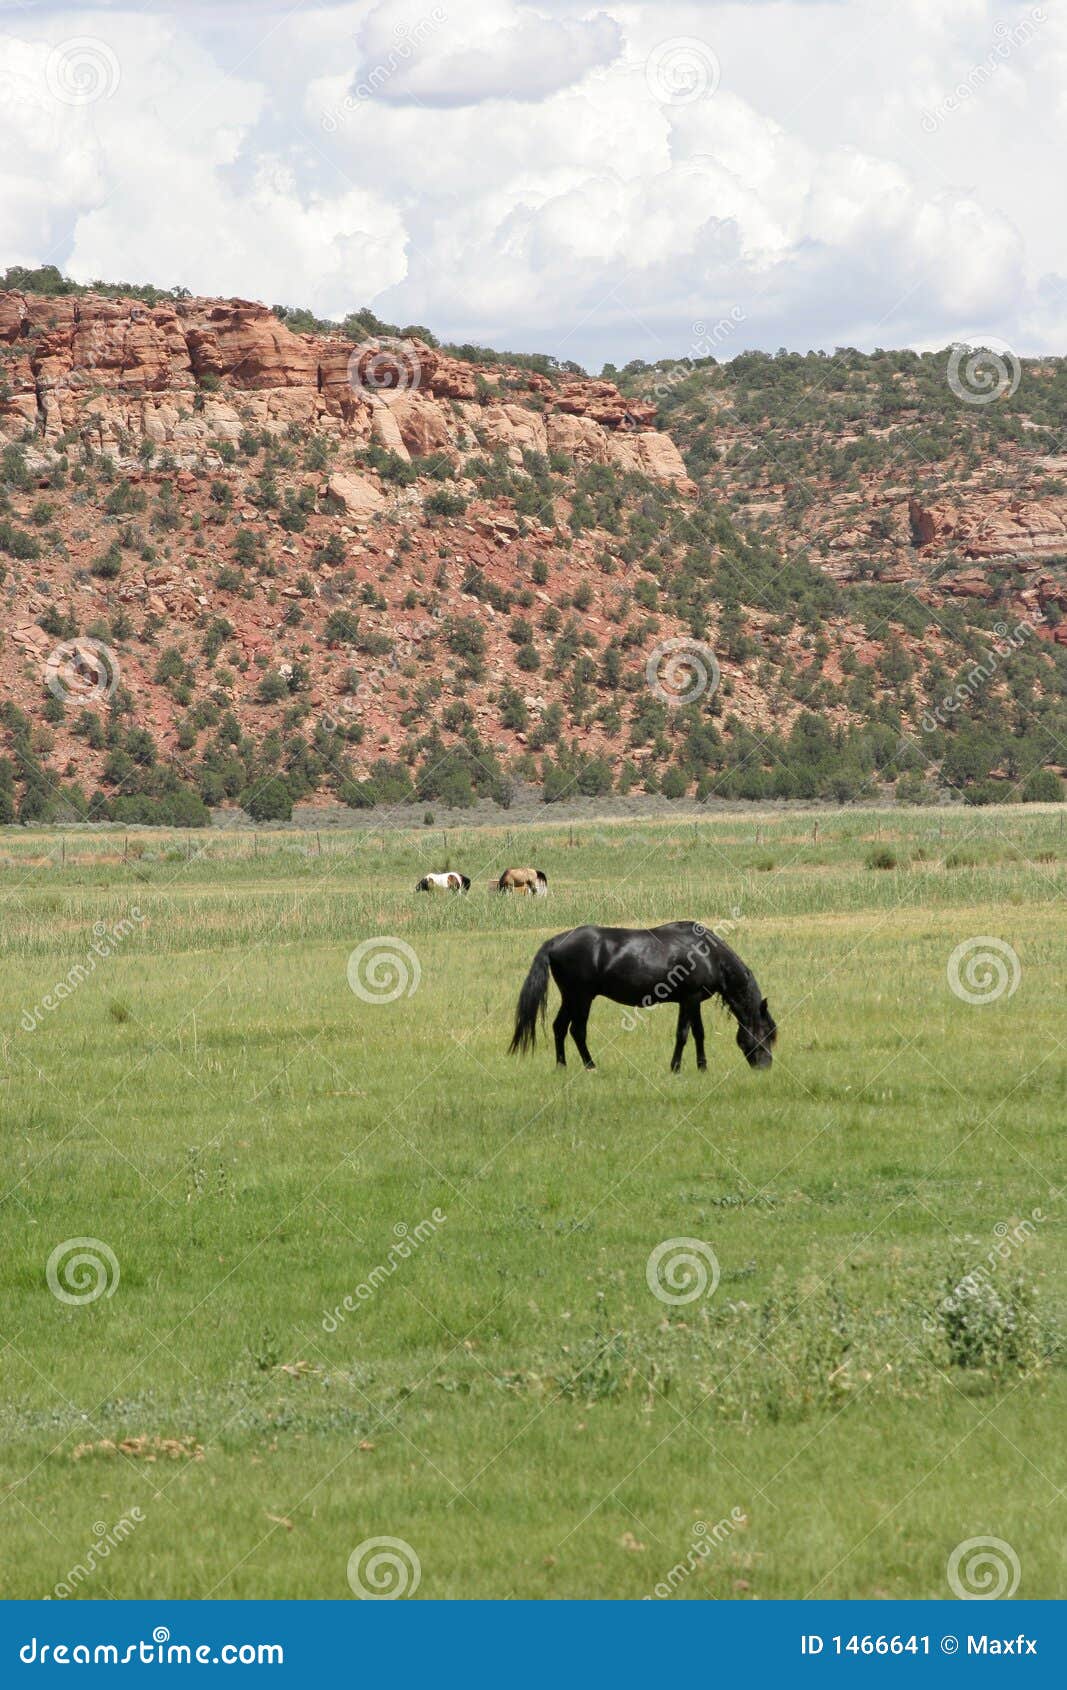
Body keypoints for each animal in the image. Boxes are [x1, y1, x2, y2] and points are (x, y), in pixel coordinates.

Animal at [508, 921, 776, 1072]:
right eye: (767, 1034)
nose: (765, 1067)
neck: (709, 955)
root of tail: (555, 942)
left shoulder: (691, 1001)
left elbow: (697, 1034)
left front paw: (701, 1067)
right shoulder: (689, 999)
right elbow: (685, 1034)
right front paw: (677, 1068)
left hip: (570, 998)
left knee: (559, 1028)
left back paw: (561, 1066)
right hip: (582, 998)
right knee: (577, 1030)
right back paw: (591, 1066)